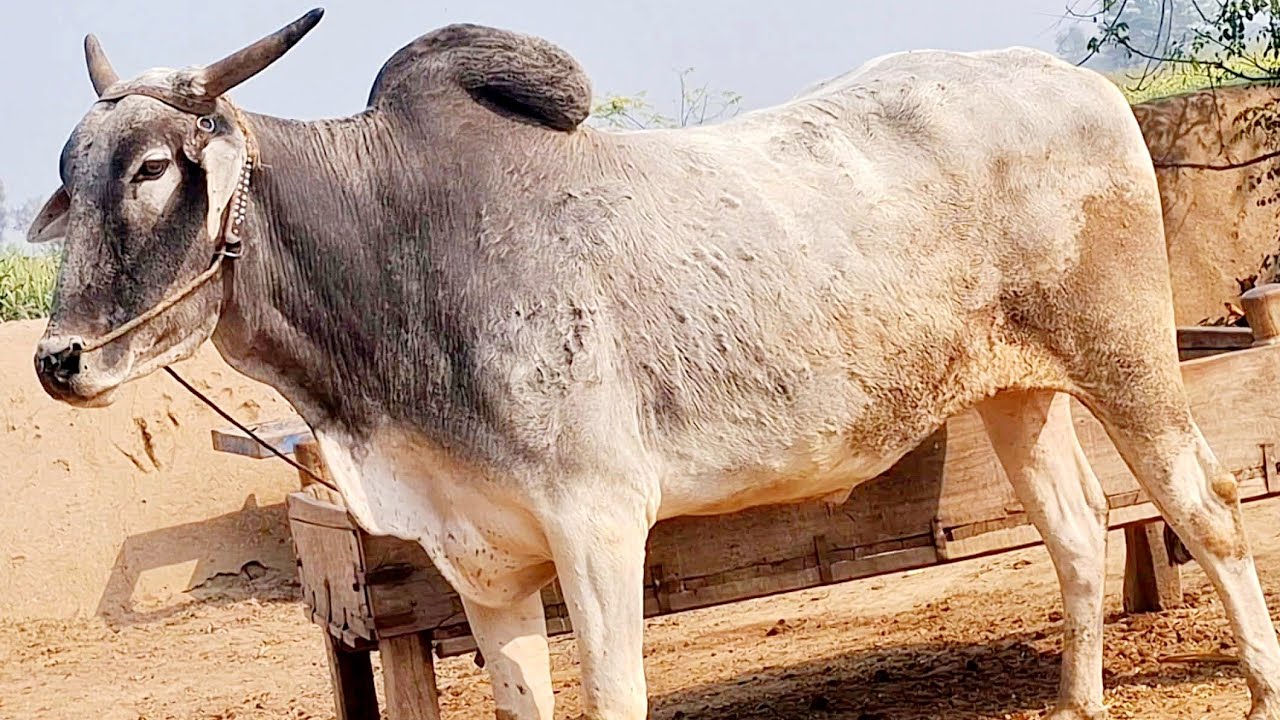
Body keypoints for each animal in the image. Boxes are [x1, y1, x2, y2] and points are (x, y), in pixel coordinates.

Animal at [26, 9, 1280, 719]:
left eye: (150, 169)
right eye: (70, 177)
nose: (57, 361)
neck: (394, 260)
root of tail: (1075, 83)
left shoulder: (597, 524)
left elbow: (615, 695)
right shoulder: (482, 563)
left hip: (1125, 362)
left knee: (1207, 505)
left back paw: (1257, 681)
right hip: (1017, 392)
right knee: (1073, 529)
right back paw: (1076, 703)